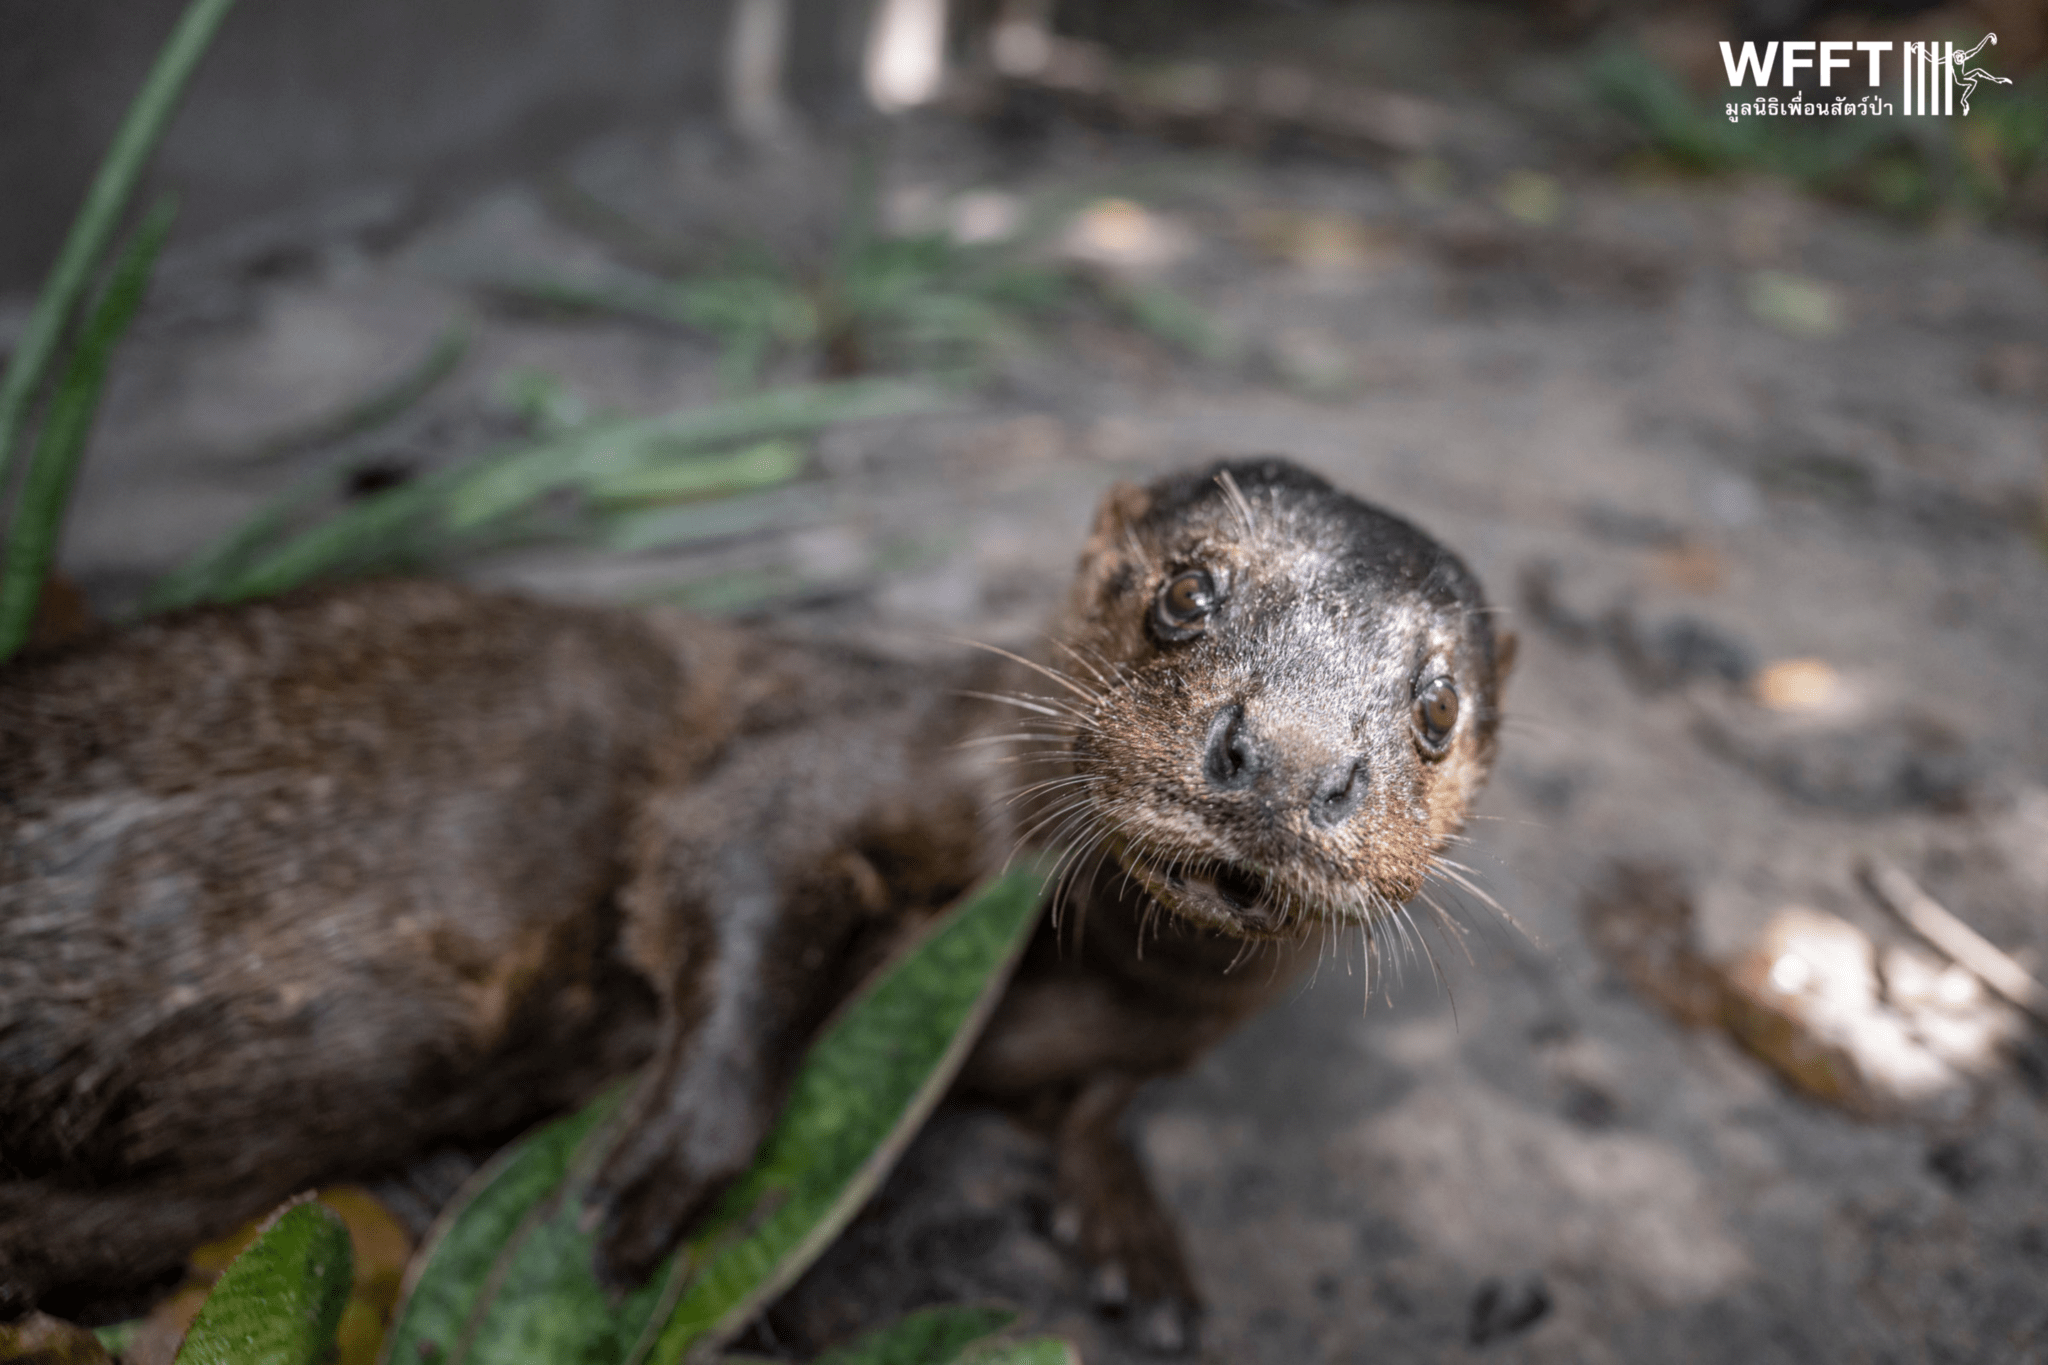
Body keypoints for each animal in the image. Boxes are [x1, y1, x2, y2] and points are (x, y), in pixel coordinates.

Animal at [0, 457, 1511, 1351]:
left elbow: (1101, 1100)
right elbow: (738, 858)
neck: (1061, 974)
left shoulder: (1159, 1027)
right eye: (1184, 597)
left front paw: (1131, 1233)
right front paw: (653, 1173)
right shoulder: (826, 760)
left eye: (1437, 706)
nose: (1294, 761)